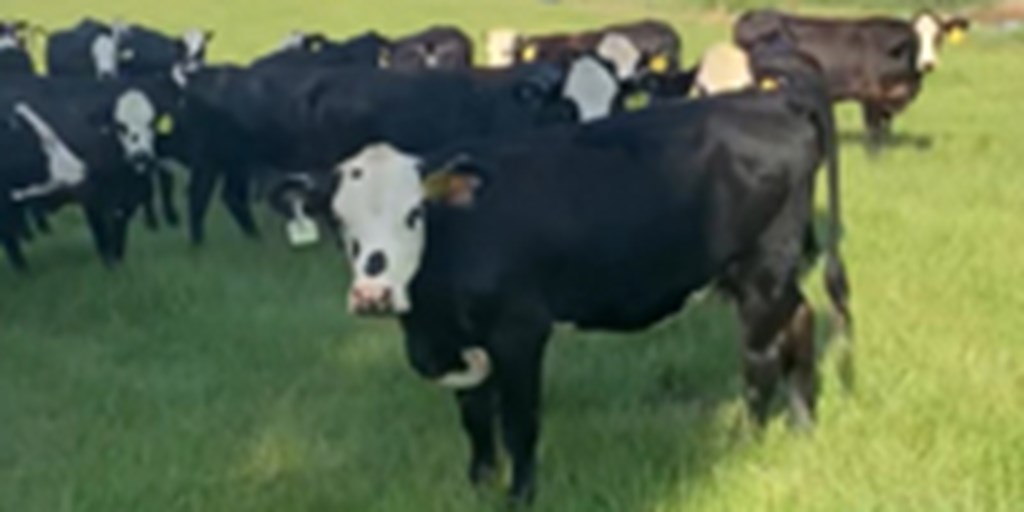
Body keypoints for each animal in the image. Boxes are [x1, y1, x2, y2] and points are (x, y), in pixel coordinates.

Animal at [169, 54, 622, 247]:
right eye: (565, 107)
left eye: (616, 100)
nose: (597, 135)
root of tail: (208, 73)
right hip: (210, 159)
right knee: (197, 196)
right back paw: (198, 248)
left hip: (236, 161)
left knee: (232, 198)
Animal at [326, 50, 851, 503]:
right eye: (341, 222)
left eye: (414, 214)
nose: (372, 294)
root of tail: (773, 99)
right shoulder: (458, 340)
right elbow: (474, 416)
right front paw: (479, 484)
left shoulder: (519, 332)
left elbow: (519, 422)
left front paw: (519, 496)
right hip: (771, 275)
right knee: (801, 324)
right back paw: (804, 427)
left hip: (763, 270)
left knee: (761, 357)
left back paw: (742, 443)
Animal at [734, 9, 970, 150]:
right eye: (914, 38)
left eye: (939, 36)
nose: (928, 63)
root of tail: (756, 13)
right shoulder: (870, 93)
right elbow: (873, 130)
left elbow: (886, 128)